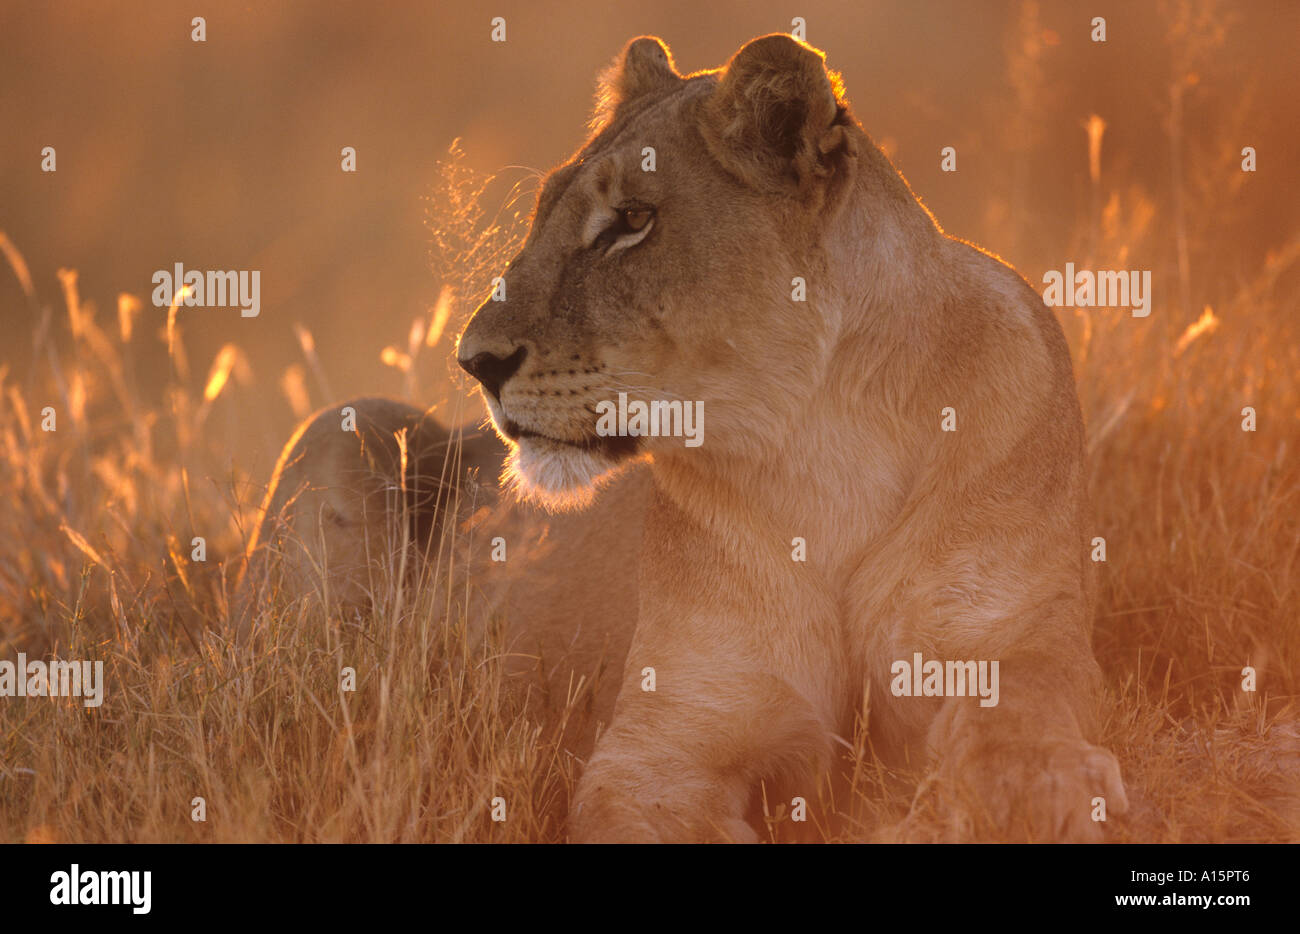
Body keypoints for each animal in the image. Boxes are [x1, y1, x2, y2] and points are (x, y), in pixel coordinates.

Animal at [454, 33, 1127, 842]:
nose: (473, 362)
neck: (826, 442)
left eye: (632, 220)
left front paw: (1038, 790)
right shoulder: (666, 733)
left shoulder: (1014, 633)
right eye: (542, 214)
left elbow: (1022, 711)